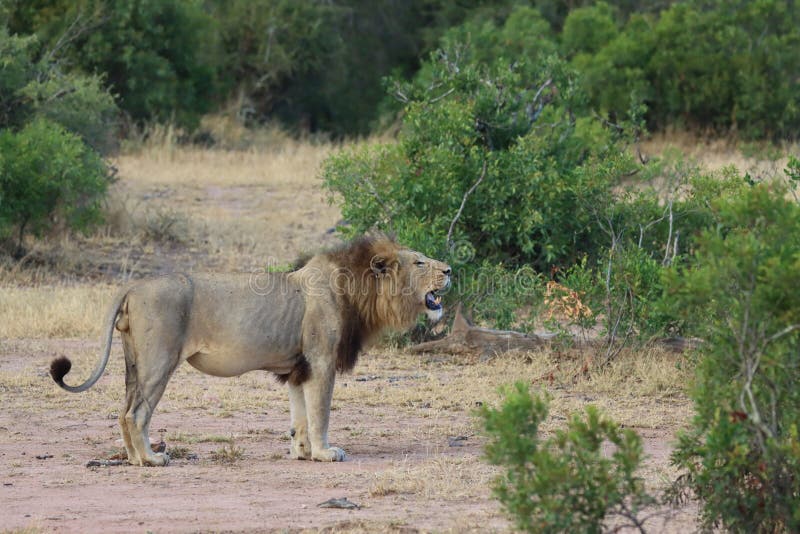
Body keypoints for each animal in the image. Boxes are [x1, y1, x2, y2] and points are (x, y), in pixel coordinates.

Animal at [50, 237, 451, 466]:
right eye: (419, 262)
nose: (449, 269)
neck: (356, 291)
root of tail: (133, 286)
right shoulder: (321, 361)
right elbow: (320, 413)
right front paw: (325, 453)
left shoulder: (299, 368)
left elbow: (300, 416)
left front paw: (304, 452)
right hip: (158, 361)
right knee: (136, 414)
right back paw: (152, 459)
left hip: (134, 362)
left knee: (122, 412)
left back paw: (134, 460)